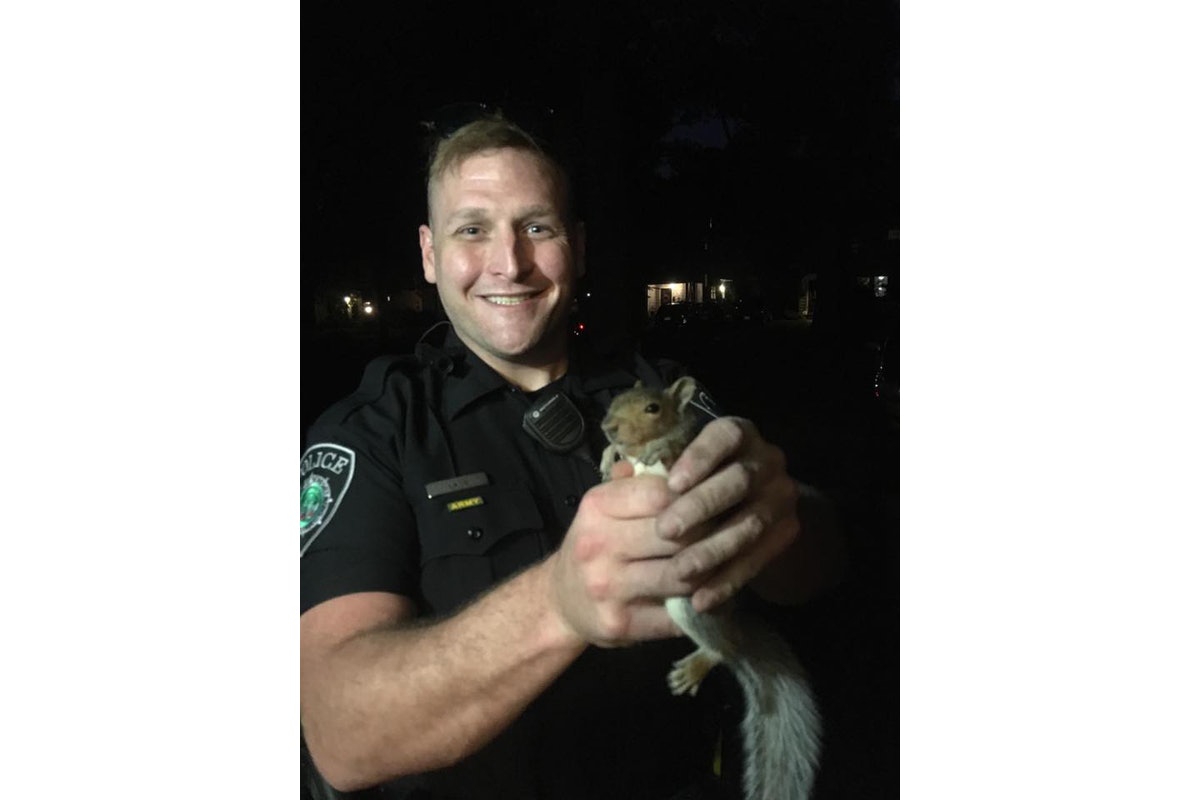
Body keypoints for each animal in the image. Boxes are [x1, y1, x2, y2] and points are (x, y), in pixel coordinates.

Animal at [599, 376, 822, 800]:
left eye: (653, 408)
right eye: (615, 398)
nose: (608, 427)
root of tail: (733, 618)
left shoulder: (684, 455)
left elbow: (672, 451)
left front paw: (655, 448)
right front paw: (608, 456)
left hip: (692, 607)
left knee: (726, 648)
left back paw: (698, 664)